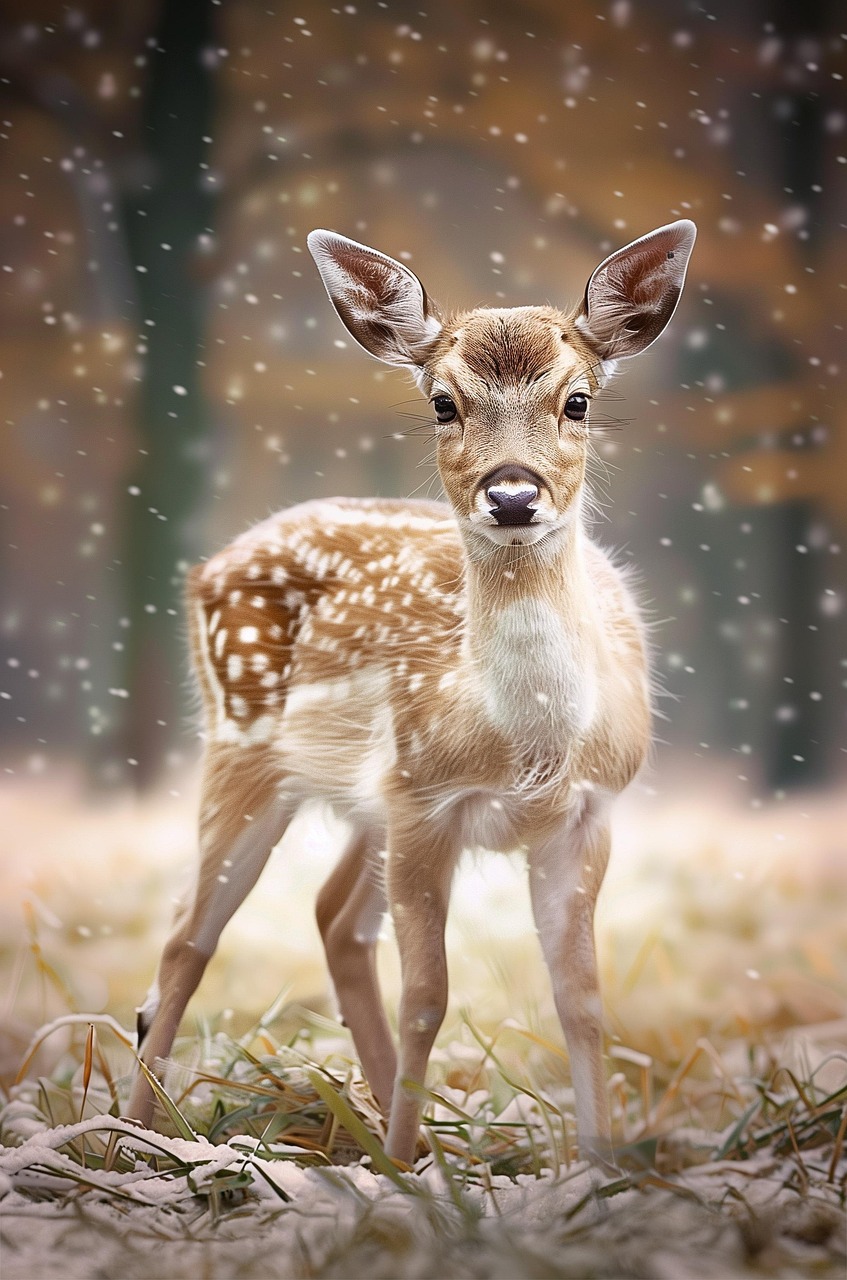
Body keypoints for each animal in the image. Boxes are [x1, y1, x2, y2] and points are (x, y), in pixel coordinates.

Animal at [126, 219, 696, 1167]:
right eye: (441, 403)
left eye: (576, 401)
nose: (511, 494)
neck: (528, 747)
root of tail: (207, 565)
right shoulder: (427, 801)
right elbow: (427, 995)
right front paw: (399, 1175)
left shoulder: (586, 812)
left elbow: (580, 1001)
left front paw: (594, 1165)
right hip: (245, 745)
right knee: (186, 935)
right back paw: (135, 1139)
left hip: (365, 801)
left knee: (331, 917)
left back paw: (390, 1123)